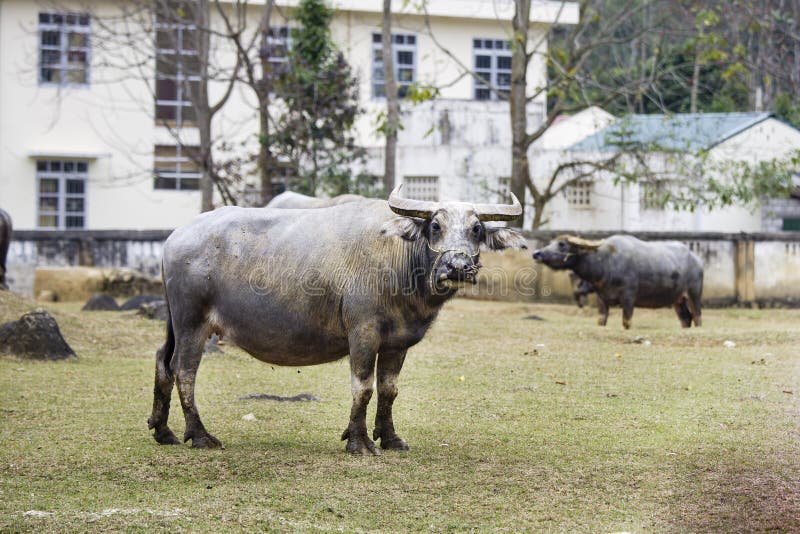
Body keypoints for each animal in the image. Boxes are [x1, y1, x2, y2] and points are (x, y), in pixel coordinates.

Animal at [149, 186, 526, 453]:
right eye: (435, 225)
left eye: (477, 229)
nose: (457, 267)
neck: (399, 259)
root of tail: (174, 238)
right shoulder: (363, 334)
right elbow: (363, 387)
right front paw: (359, 442)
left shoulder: (397, 343)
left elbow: (389, 389)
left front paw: (390, 438)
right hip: (192, 324)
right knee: (184, 372)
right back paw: (200, 436)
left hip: (175, 325)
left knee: (163, 362)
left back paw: (163, 430)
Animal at [533, 235, 703, 329]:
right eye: (551, 242)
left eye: (562, 244)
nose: (537, 253)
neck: (606, 263)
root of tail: (697, 260)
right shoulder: (601, 299)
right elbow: (601, 321)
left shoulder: (628, 298)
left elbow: (626, 322)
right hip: (678, 300)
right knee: (685, 319)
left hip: (694, 295)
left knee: (697, 317)